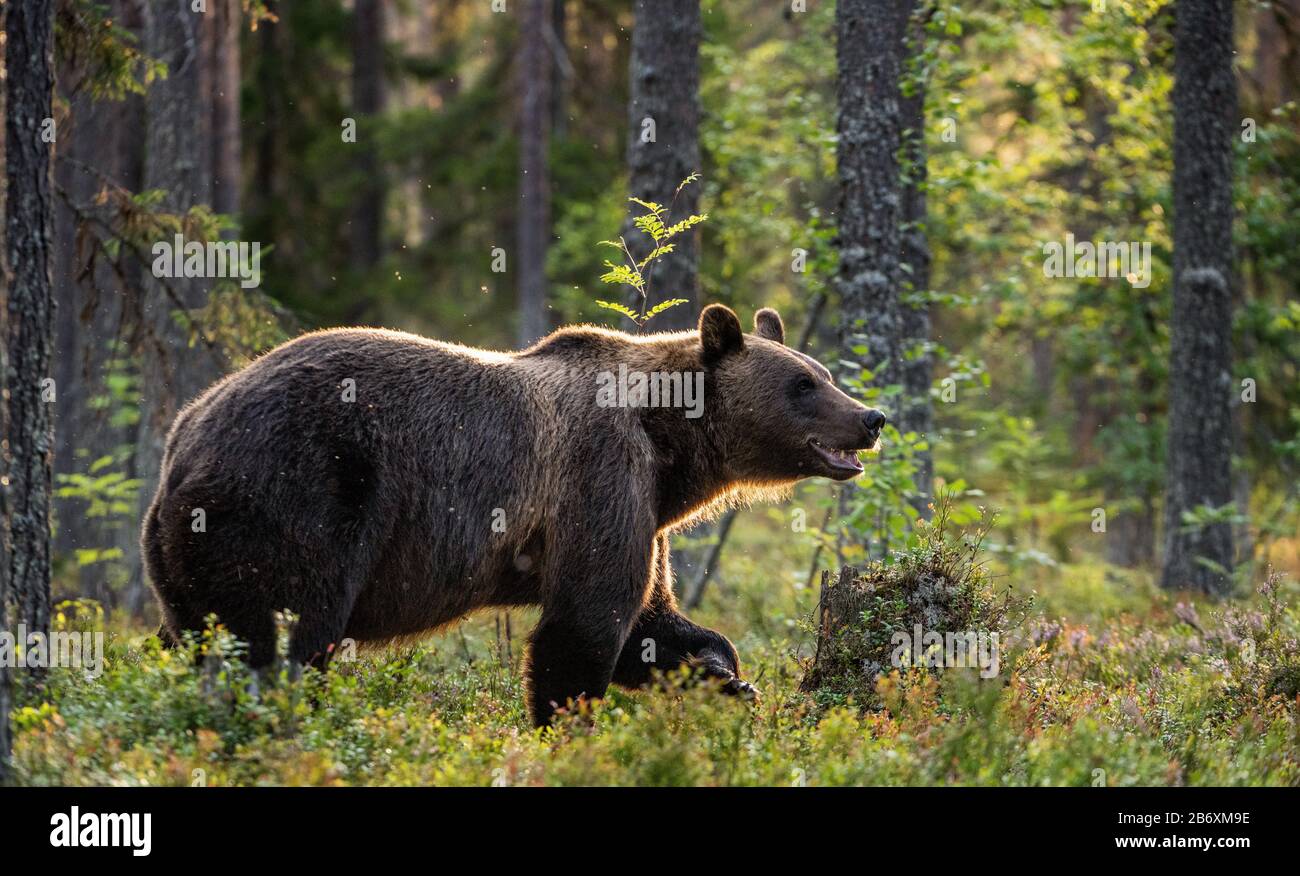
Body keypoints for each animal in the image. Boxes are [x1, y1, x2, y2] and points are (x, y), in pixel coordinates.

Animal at [142, 304, 885, 726]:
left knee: (199, 637)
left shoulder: (645, 513)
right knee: (286, 634)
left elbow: (652, 620)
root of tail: (183, 440)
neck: (668, 444)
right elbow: (585, 625)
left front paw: (725, 674)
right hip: (297, 496)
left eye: (822, 372)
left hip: (185, 558)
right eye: (803, 384)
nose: (871, 417)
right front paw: (567, 731)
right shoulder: (600, 475)